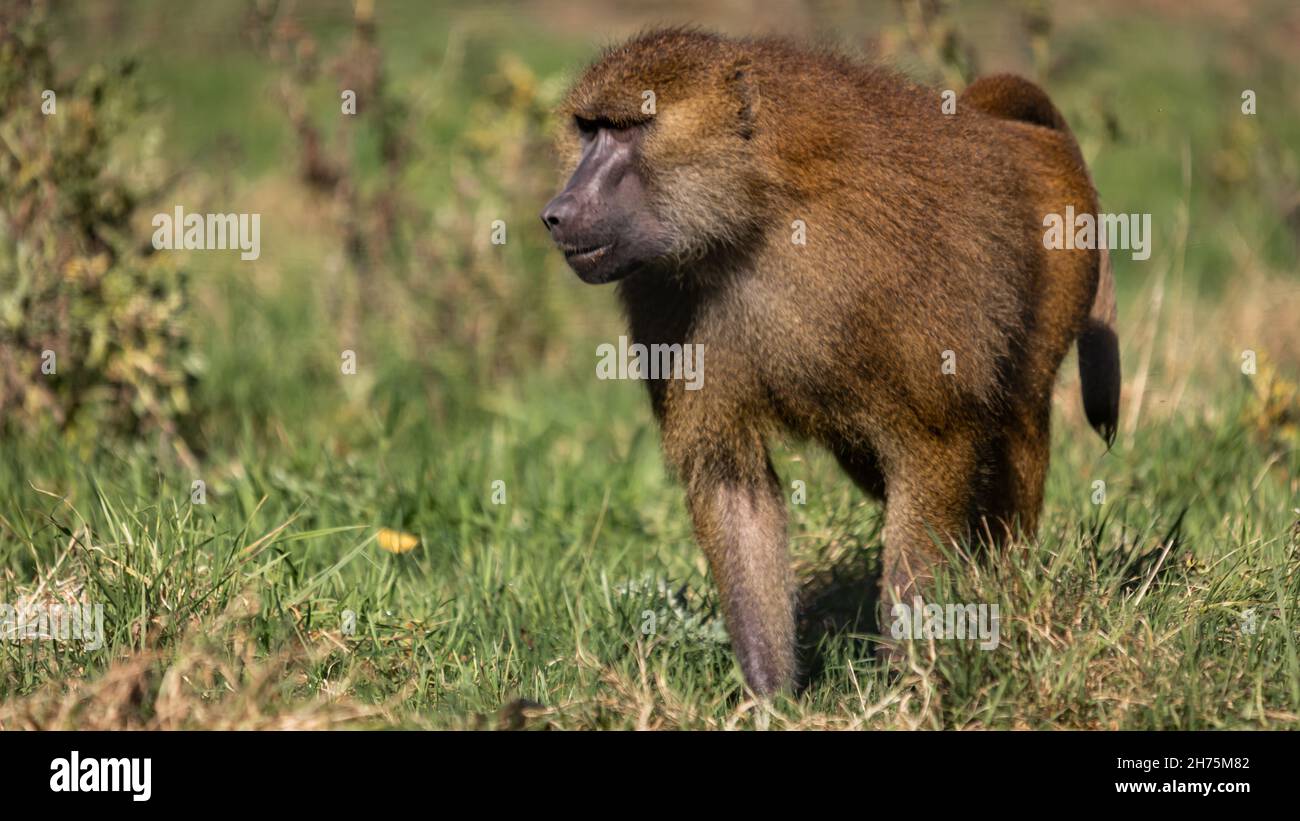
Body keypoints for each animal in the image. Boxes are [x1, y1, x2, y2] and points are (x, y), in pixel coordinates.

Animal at [542, 28, 1120, 695]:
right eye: (589, 130)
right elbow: (731, 486)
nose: (557, 212)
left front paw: (905, 686)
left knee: (1017, 425)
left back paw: (1005, 599)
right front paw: (771, 699)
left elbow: (936, 442)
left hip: (1062, 256)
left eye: (630, 128)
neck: (747, 220)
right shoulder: (665, 299)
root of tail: (1012, 133)